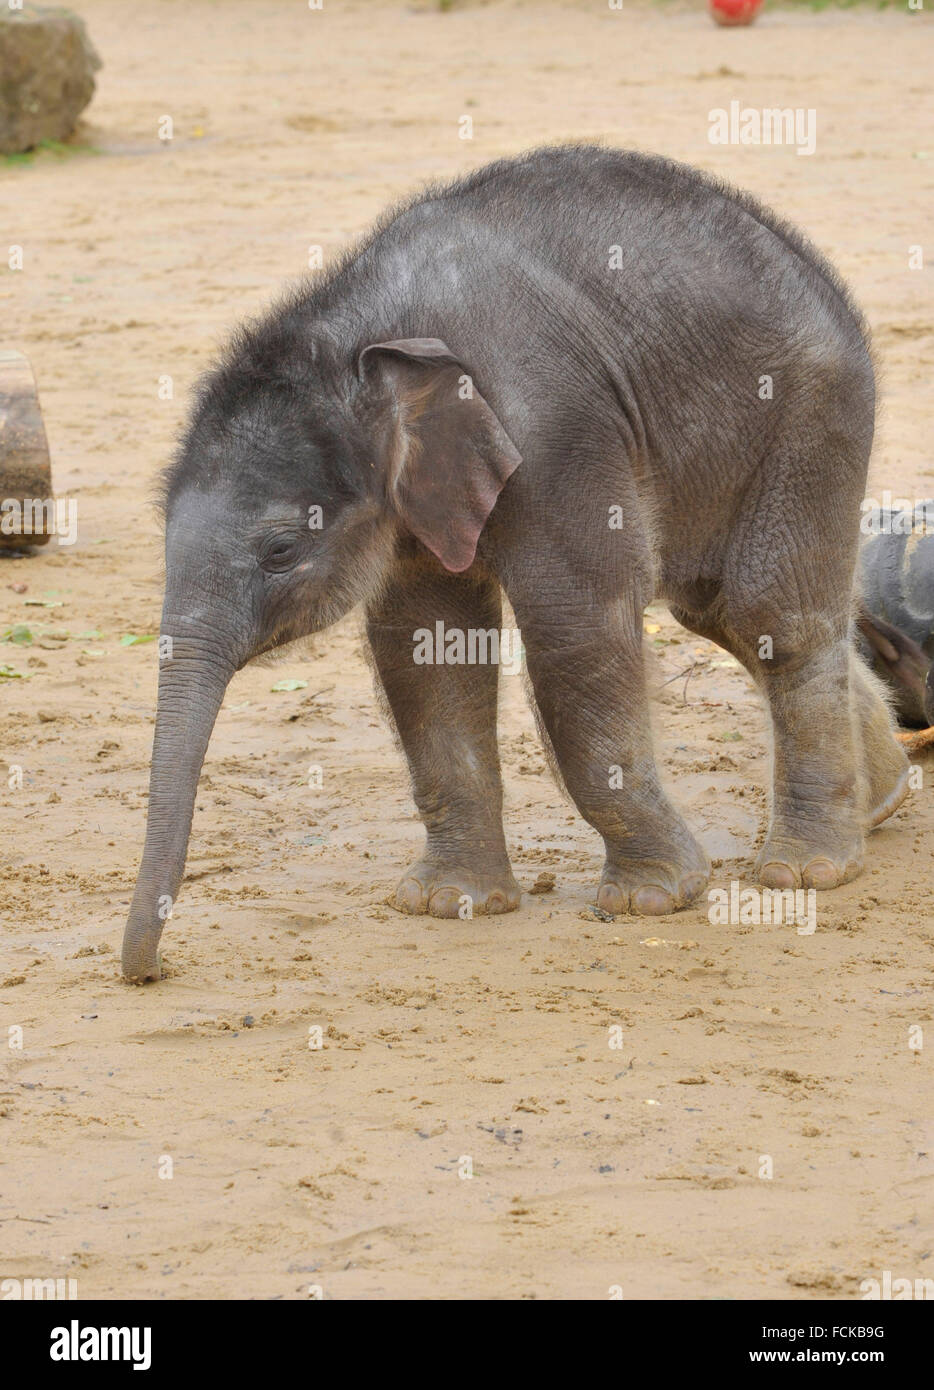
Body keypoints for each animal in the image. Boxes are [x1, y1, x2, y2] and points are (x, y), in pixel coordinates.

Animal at [121, 144, 909, 982]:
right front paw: (448, 904)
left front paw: (653, 901)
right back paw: (884, 803)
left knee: (770, 614)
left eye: (279, 551)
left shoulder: (555, 430)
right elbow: (425, 644)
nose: (152, 972)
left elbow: (577, 626)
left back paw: (807, 871)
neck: (355, 335)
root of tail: (798, 253)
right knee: (718, 611)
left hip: (812, 412)